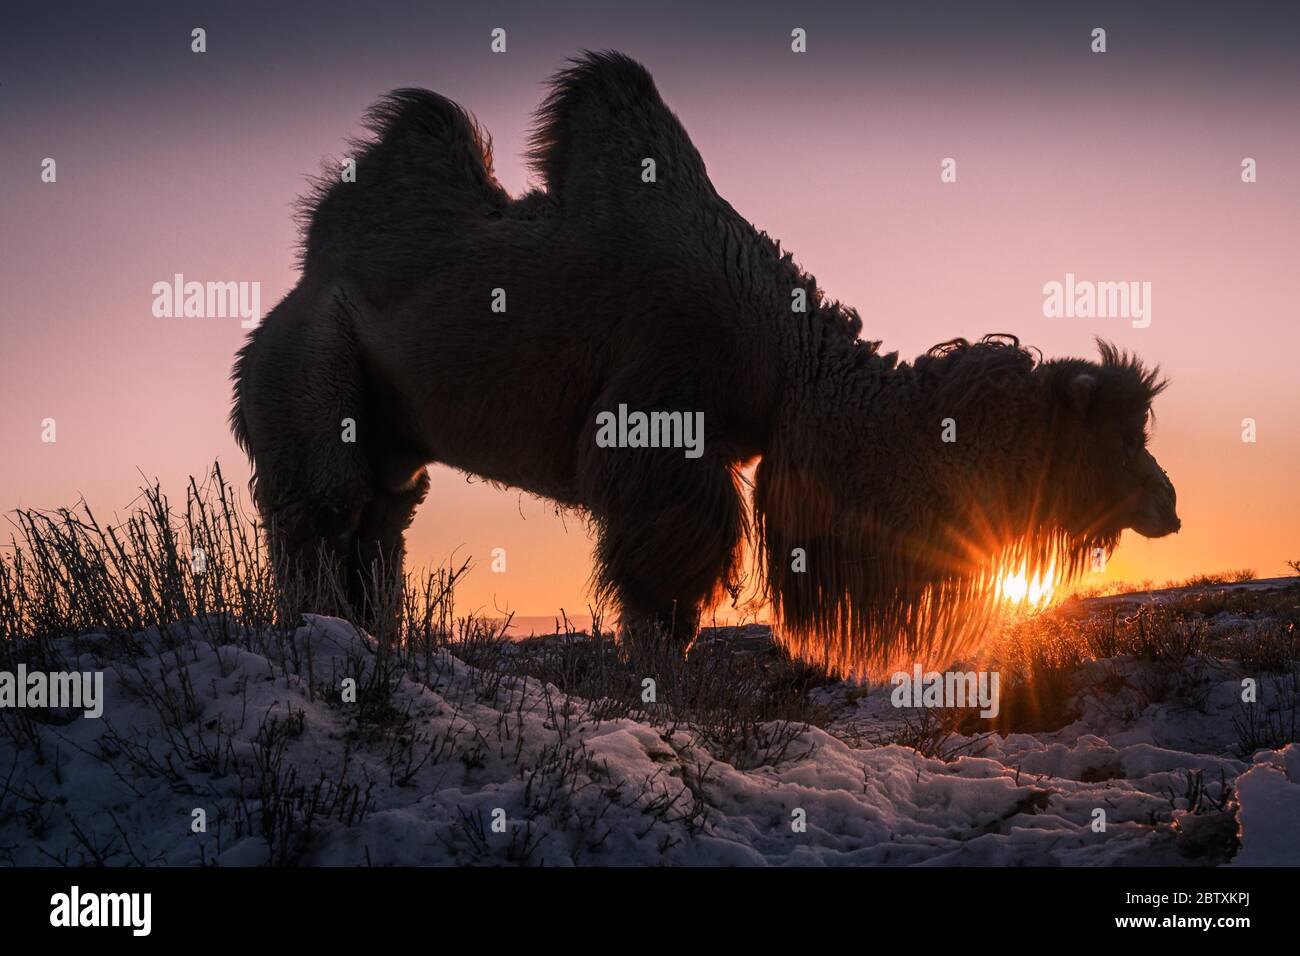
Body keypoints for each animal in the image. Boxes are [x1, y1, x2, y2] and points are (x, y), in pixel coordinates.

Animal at [230, 51, 1179, 675]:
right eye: (1119, 436)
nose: (1167, 504)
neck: (787, 364)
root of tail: (298, 283)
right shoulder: (661, 433)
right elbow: (667, 589)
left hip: (392, 436)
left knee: (378, 527)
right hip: (310, 368)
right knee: (320, 514)